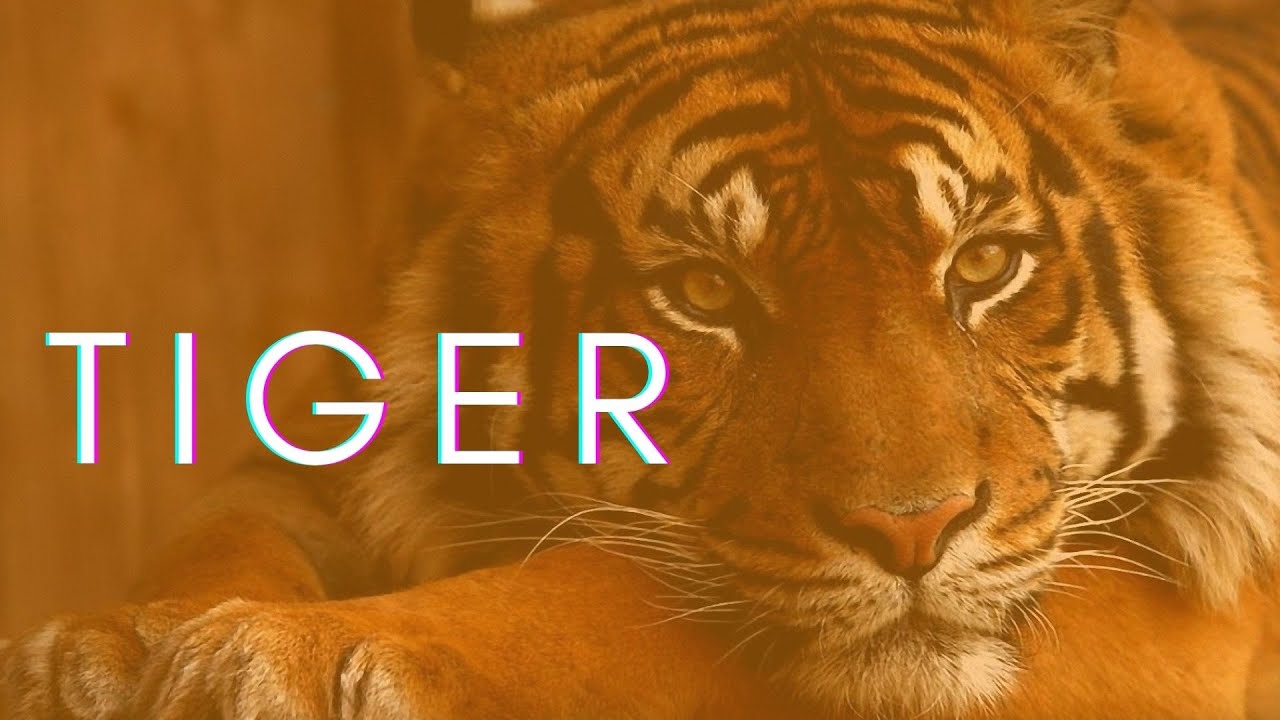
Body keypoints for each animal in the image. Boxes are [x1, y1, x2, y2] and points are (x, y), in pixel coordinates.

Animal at [4, 0, 1280, 718]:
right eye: (705, 292)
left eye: (980, 266)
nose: (913, 530)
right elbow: (222, 529)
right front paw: (112, 654)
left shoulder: (1169, 602)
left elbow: (603, 592)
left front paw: (291, 658)